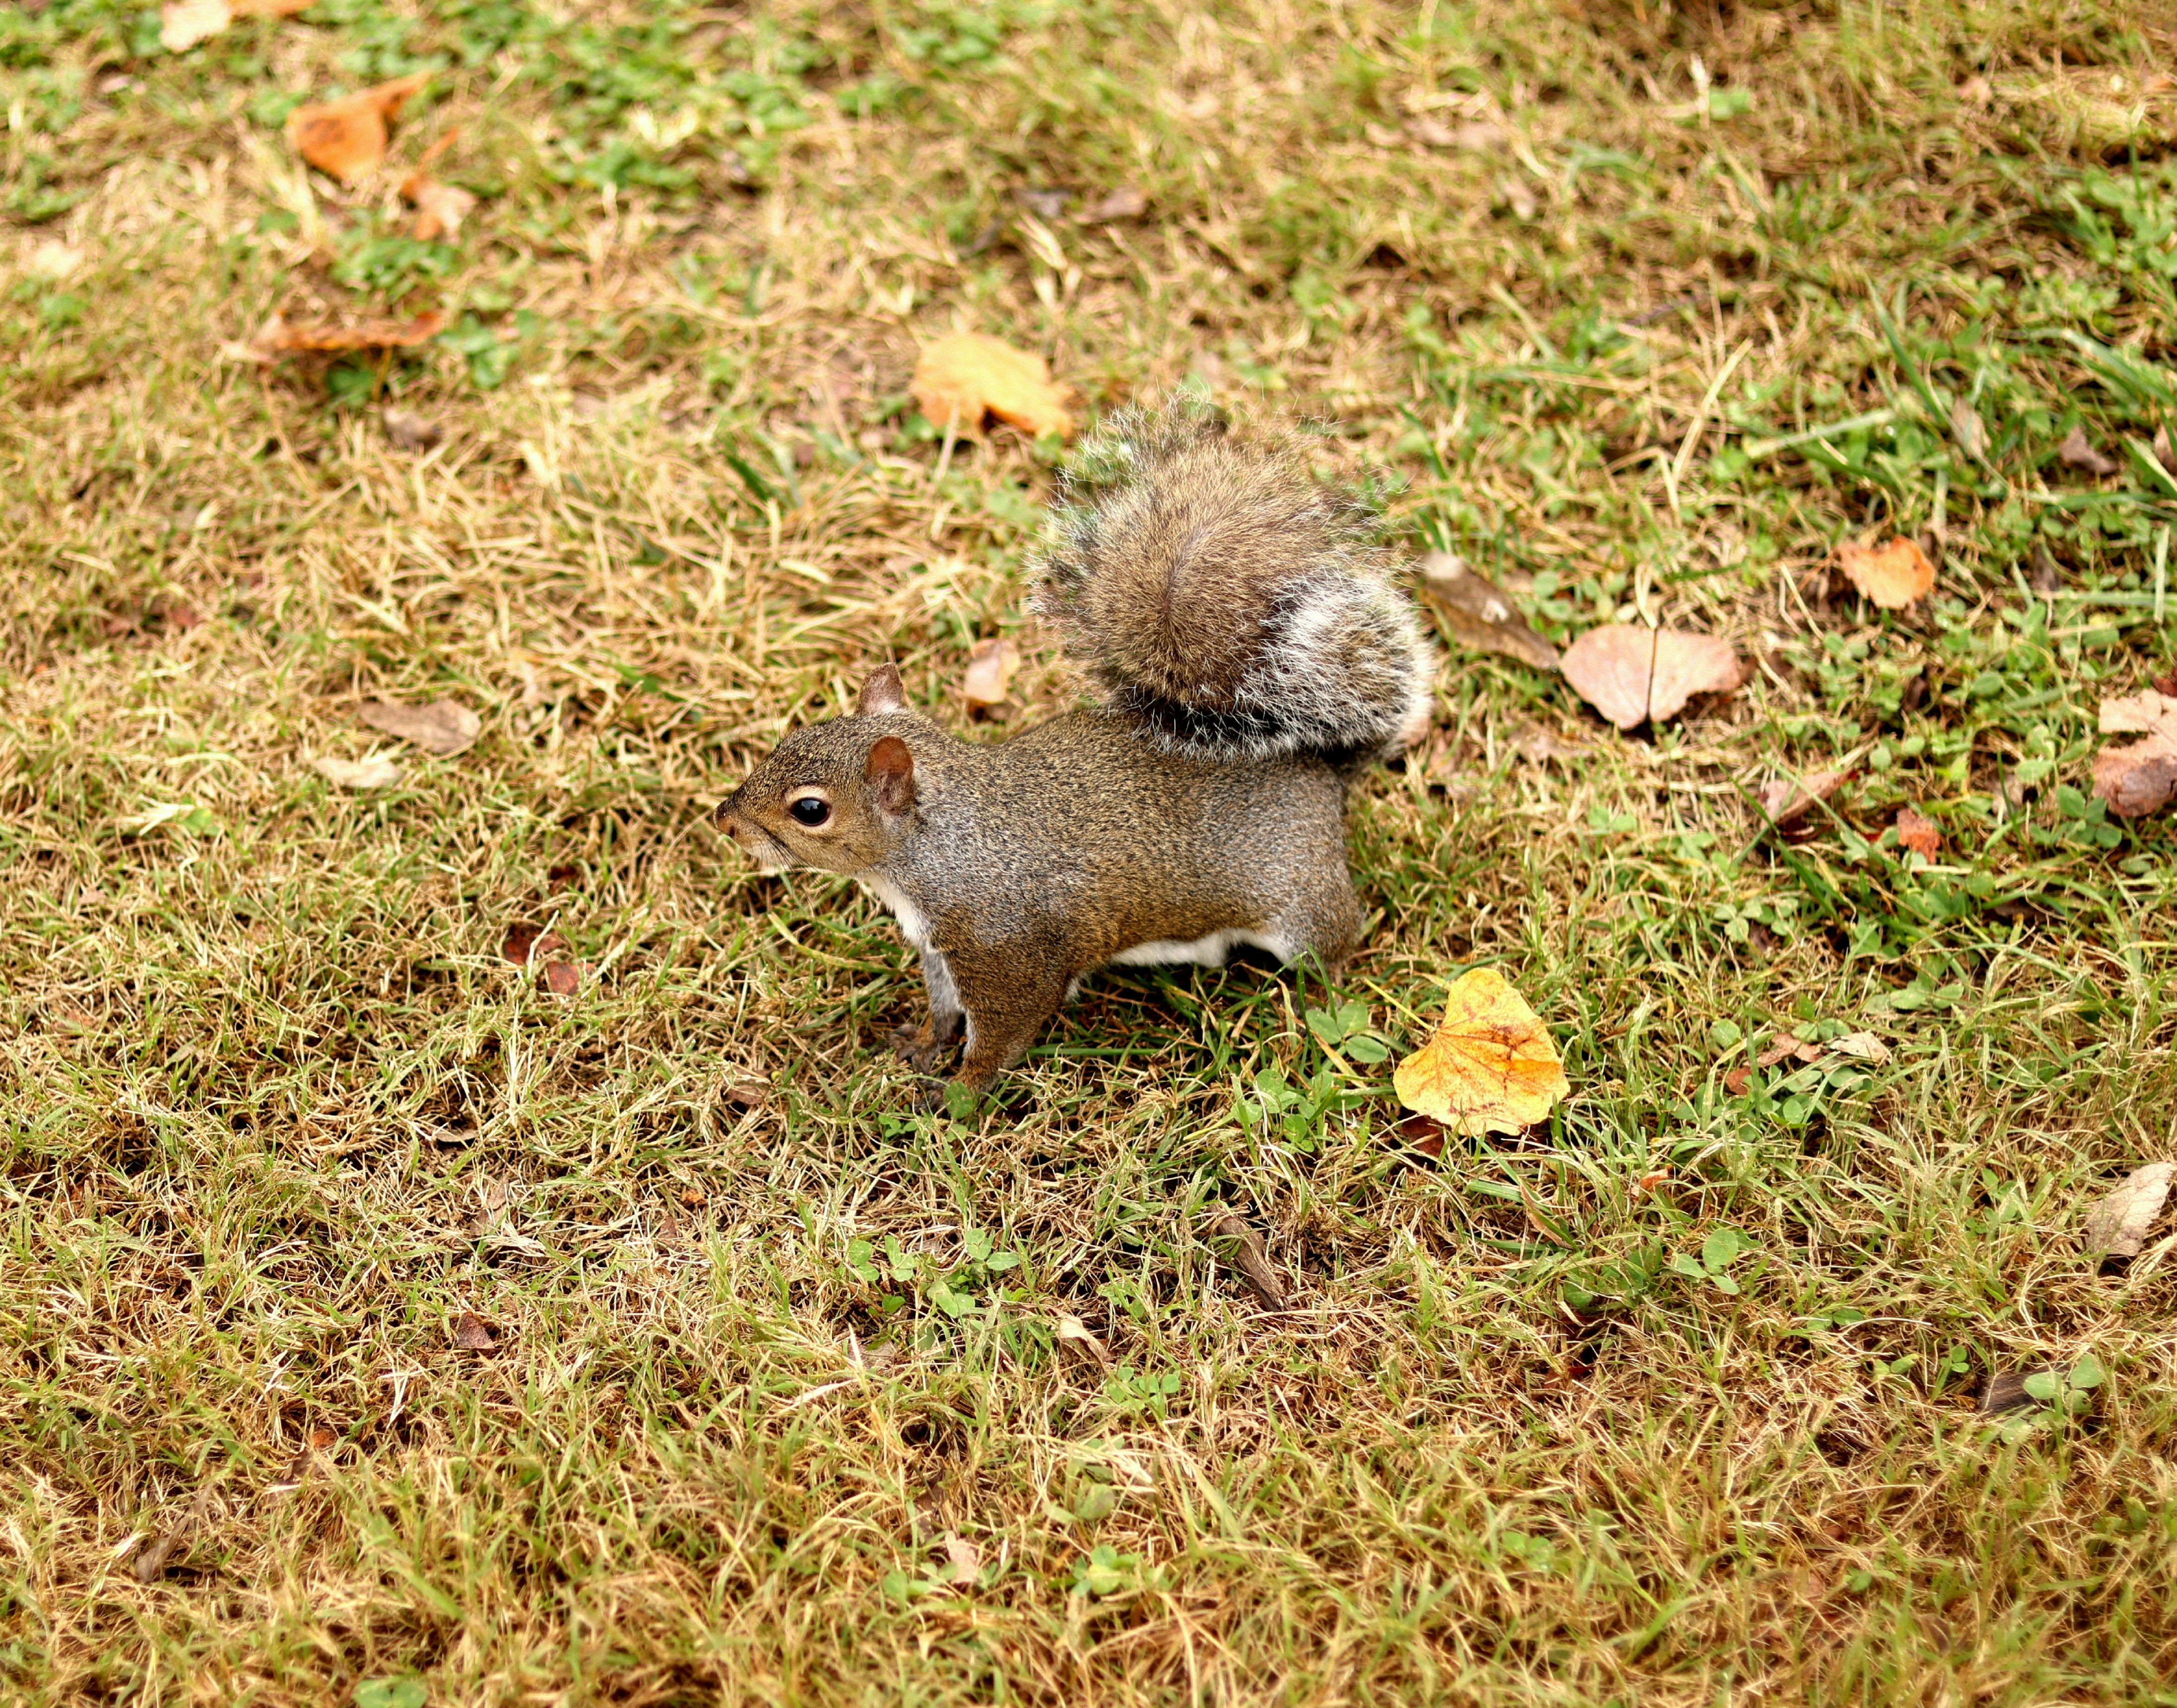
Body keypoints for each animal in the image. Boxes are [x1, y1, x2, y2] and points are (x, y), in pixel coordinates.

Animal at [719, 397, 1437, 1100]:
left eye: (810, 810)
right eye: (791, 737)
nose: (725, 821)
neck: (933, 852)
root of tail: (1321, 769)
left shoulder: (1006, 952)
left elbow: (1002, 1033)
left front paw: (957, 1100)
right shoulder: (941, 950)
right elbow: (946, 1010)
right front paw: (923, 1044)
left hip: (1301, 904)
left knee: (1337, 938)